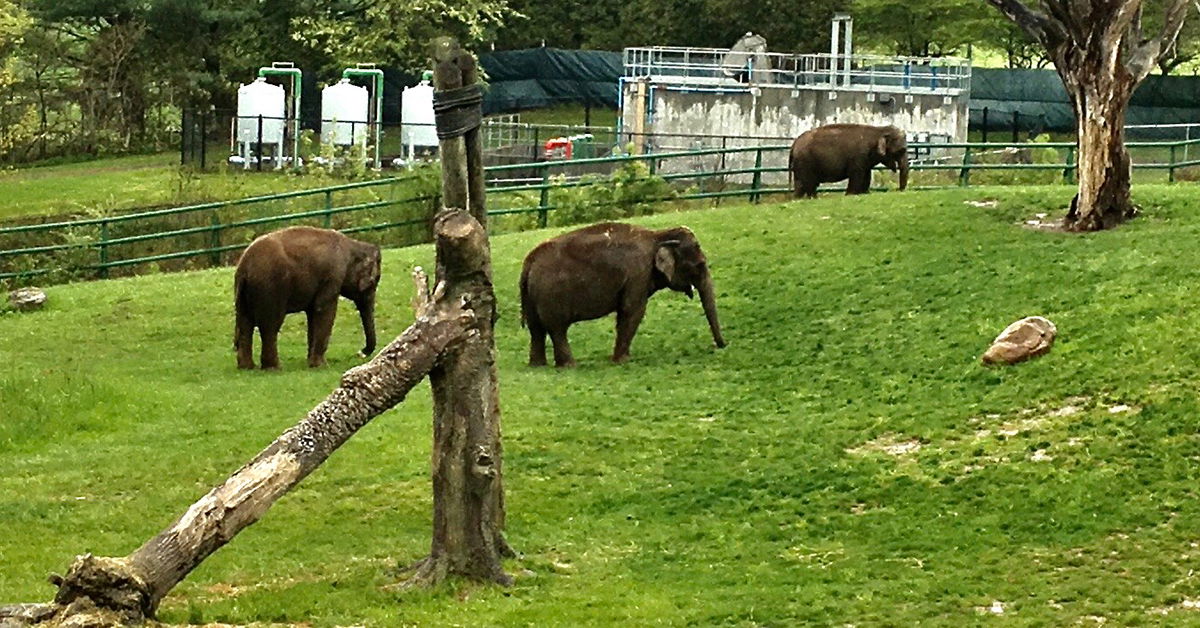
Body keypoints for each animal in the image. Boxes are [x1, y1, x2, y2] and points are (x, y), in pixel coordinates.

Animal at [234, 226, 381, 370]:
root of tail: (244, 267)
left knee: (245, 324)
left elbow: (312, 314)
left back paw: (247, 367)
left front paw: (312, 363)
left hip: (244, 292)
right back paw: (274, 368)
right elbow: (323, 309)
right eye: (372, 283)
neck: (352, 244)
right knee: (270, 326)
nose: (360, 353)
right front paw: (321, 366)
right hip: (270, 287)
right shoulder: (333, 276)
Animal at [519, 222, 726, 367]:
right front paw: (624, 360)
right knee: (557, 328)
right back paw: (569, 365)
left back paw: (538, 365)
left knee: (536, 329)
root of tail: (529, 261)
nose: (721, 346)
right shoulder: (638, 274)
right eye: (700, 265)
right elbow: (633, 310)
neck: (658, 235)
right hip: (551, 295)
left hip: (531, 296)